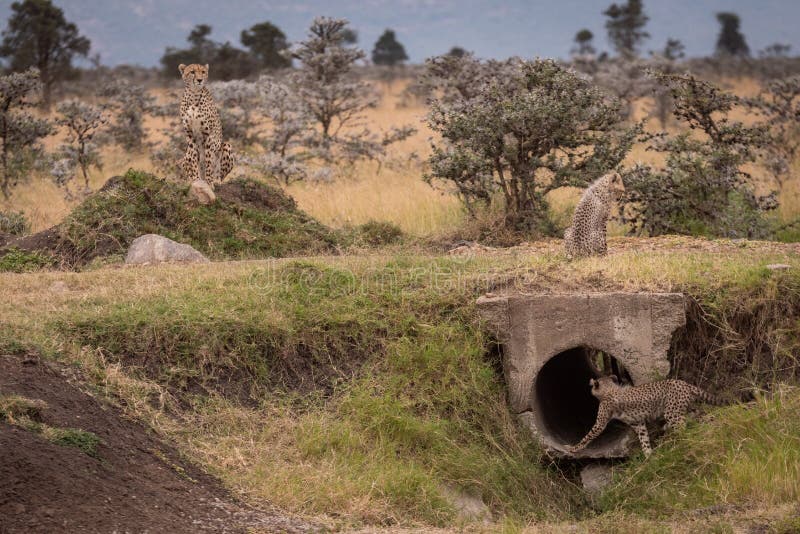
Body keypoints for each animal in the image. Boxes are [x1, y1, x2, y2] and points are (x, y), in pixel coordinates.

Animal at [565, 375, 722, 457]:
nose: (590, 386)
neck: (610, 389)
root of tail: (683, 382)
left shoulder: (600, 423)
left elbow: (588, 436)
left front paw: (573, 448)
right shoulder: (638, 423)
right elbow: (644, 438)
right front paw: (648, 456)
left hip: (672, 413)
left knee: (682, 425)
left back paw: (682, 442)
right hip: (687, 408)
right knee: (703, 416)